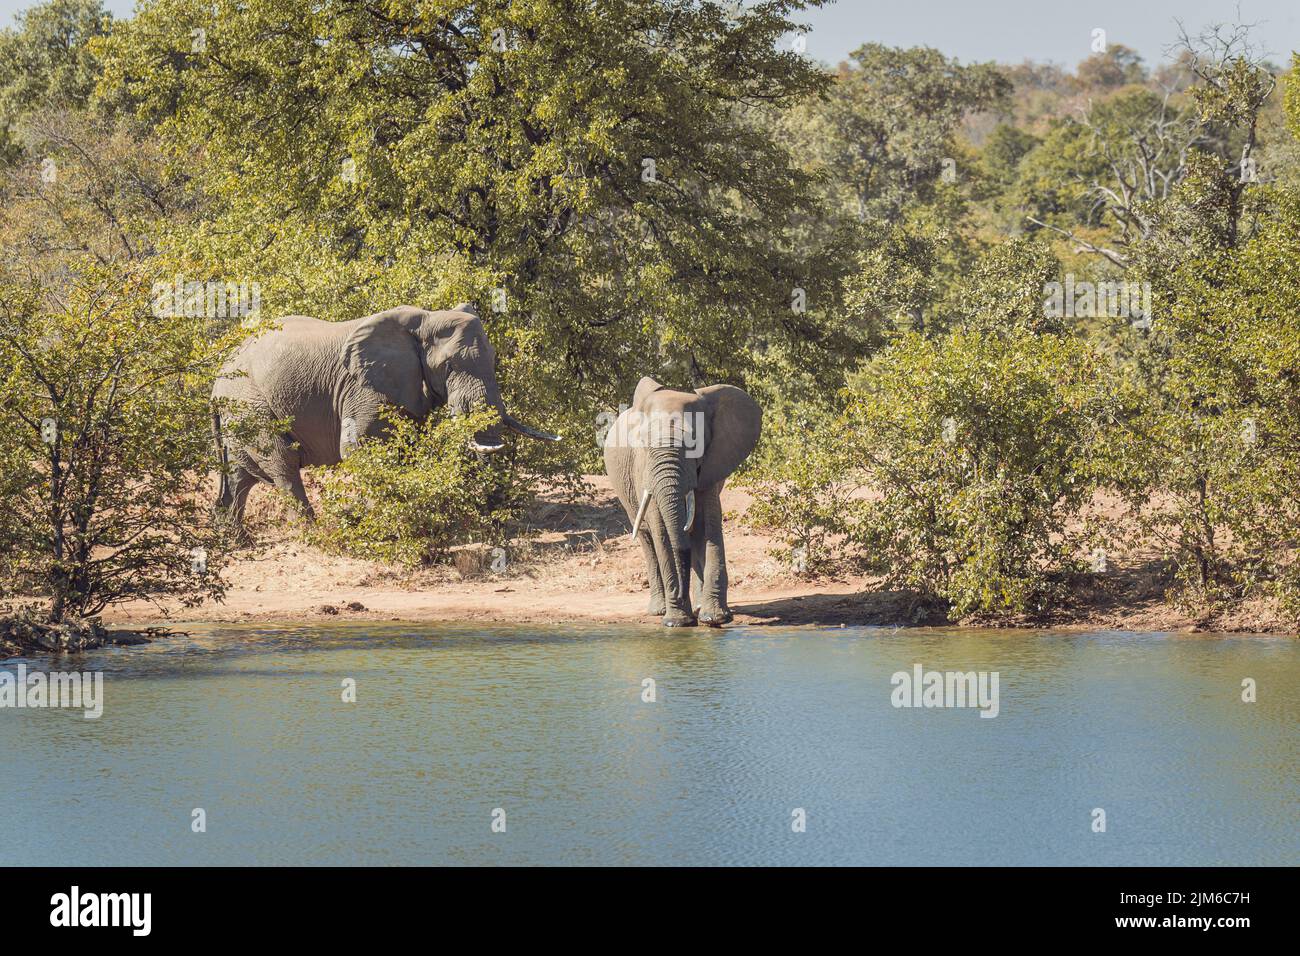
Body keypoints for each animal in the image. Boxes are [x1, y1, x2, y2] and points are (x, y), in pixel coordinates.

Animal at [211, 303, 559, 530]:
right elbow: (357, 448)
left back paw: (233, 537)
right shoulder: (364, 386)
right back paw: (314, 534)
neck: (425, 319)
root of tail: (219, 373)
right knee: (283, 465)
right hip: (249, 403)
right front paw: (379, 522)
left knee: (242, 476)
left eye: (495, 359)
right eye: (448, 366)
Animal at [603, 377, 761, 627]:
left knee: (695, 534)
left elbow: (708, 525)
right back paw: (659, 610)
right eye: (644, 445)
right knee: (648, 539)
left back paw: (695, 608)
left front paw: (714, 618)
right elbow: (661, 532)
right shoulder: (643, 472)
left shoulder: (711, 464)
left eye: (695, 445)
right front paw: (676, 622)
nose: (678, 595)